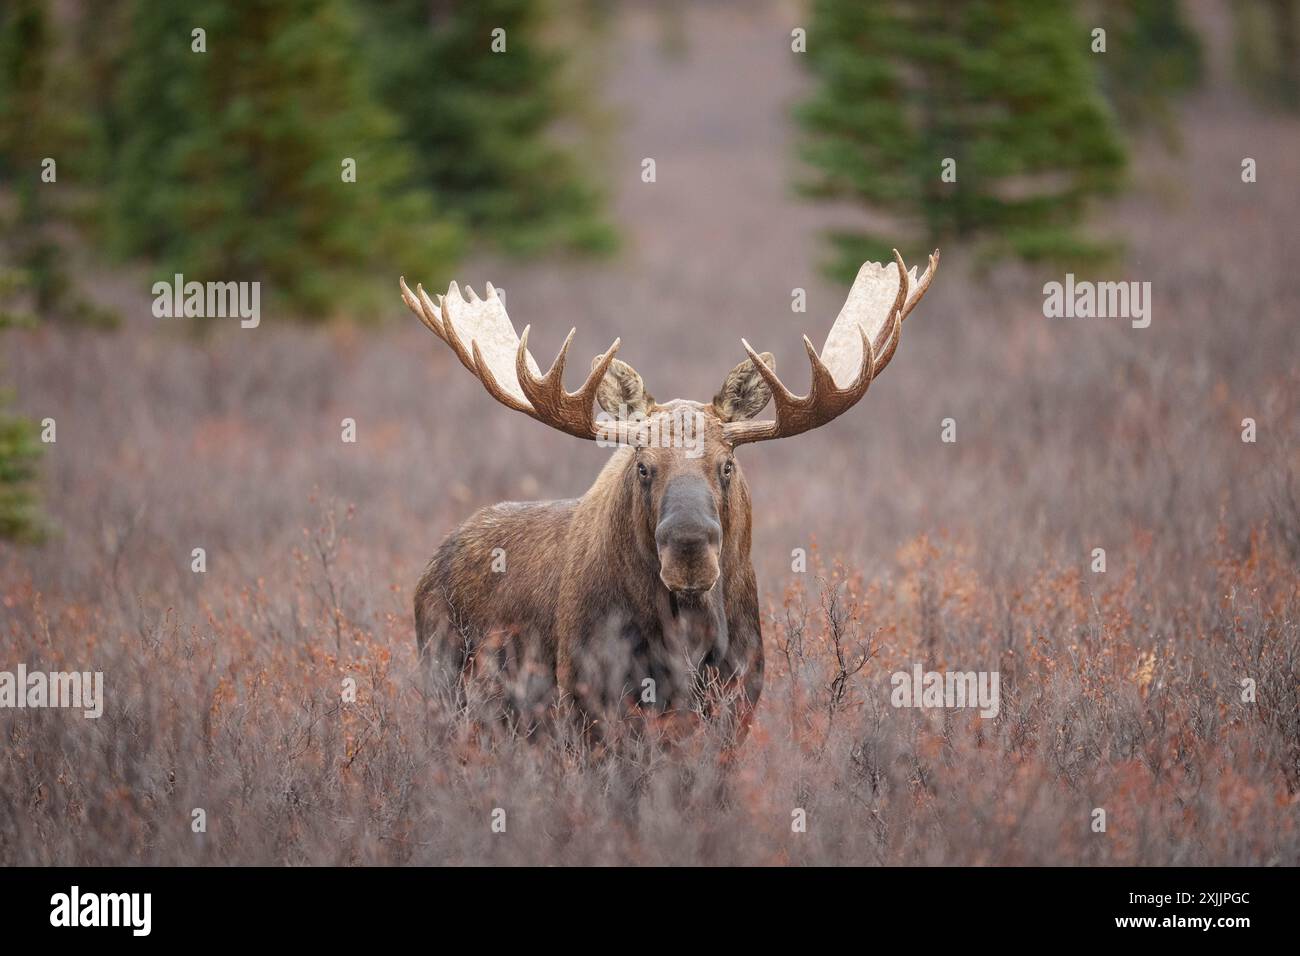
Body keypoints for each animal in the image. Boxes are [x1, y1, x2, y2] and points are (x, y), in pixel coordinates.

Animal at [399, 249, 938, 743]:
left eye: (727, 465)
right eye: (643, 466)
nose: (689, 553)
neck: (687, 637)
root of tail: (430, 567)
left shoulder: (739, 700)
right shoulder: (588, 699)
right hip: (445, 686)